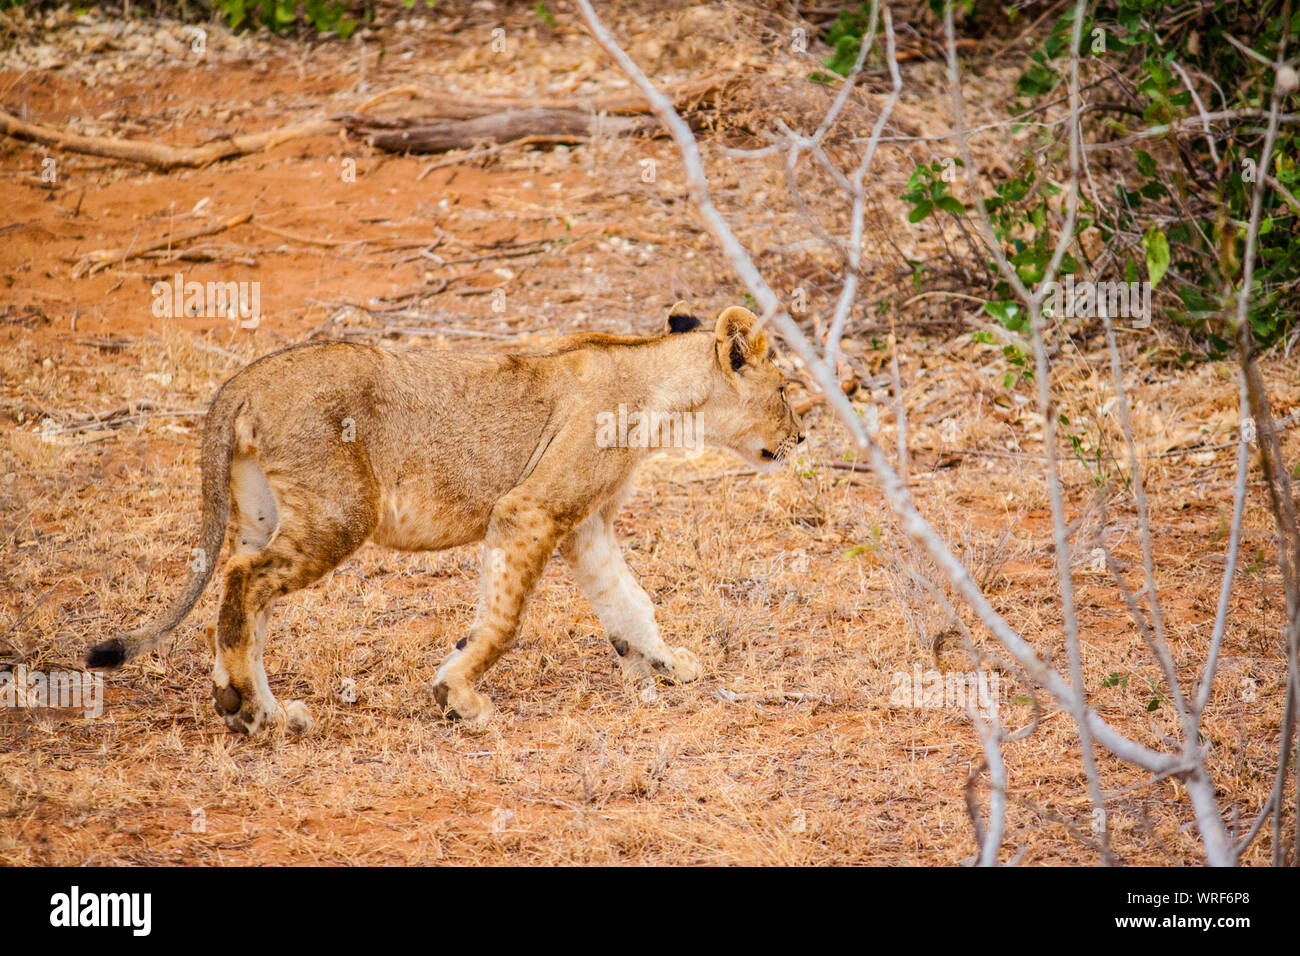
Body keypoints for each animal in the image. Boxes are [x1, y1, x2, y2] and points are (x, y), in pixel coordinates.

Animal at [85, 303, 806, 734]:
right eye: (784, 392)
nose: (803, 437)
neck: (660, 393)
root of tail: (246, 378)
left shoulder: (585, 525)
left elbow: (628, 601)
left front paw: (666, 664)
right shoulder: (530, 509)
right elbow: (504, 621)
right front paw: (458, 695)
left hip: (269, 511)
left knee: (242, 582)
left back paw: (254, 704)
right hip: (342, 511)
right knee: (244, 582)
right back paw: (250, 711)